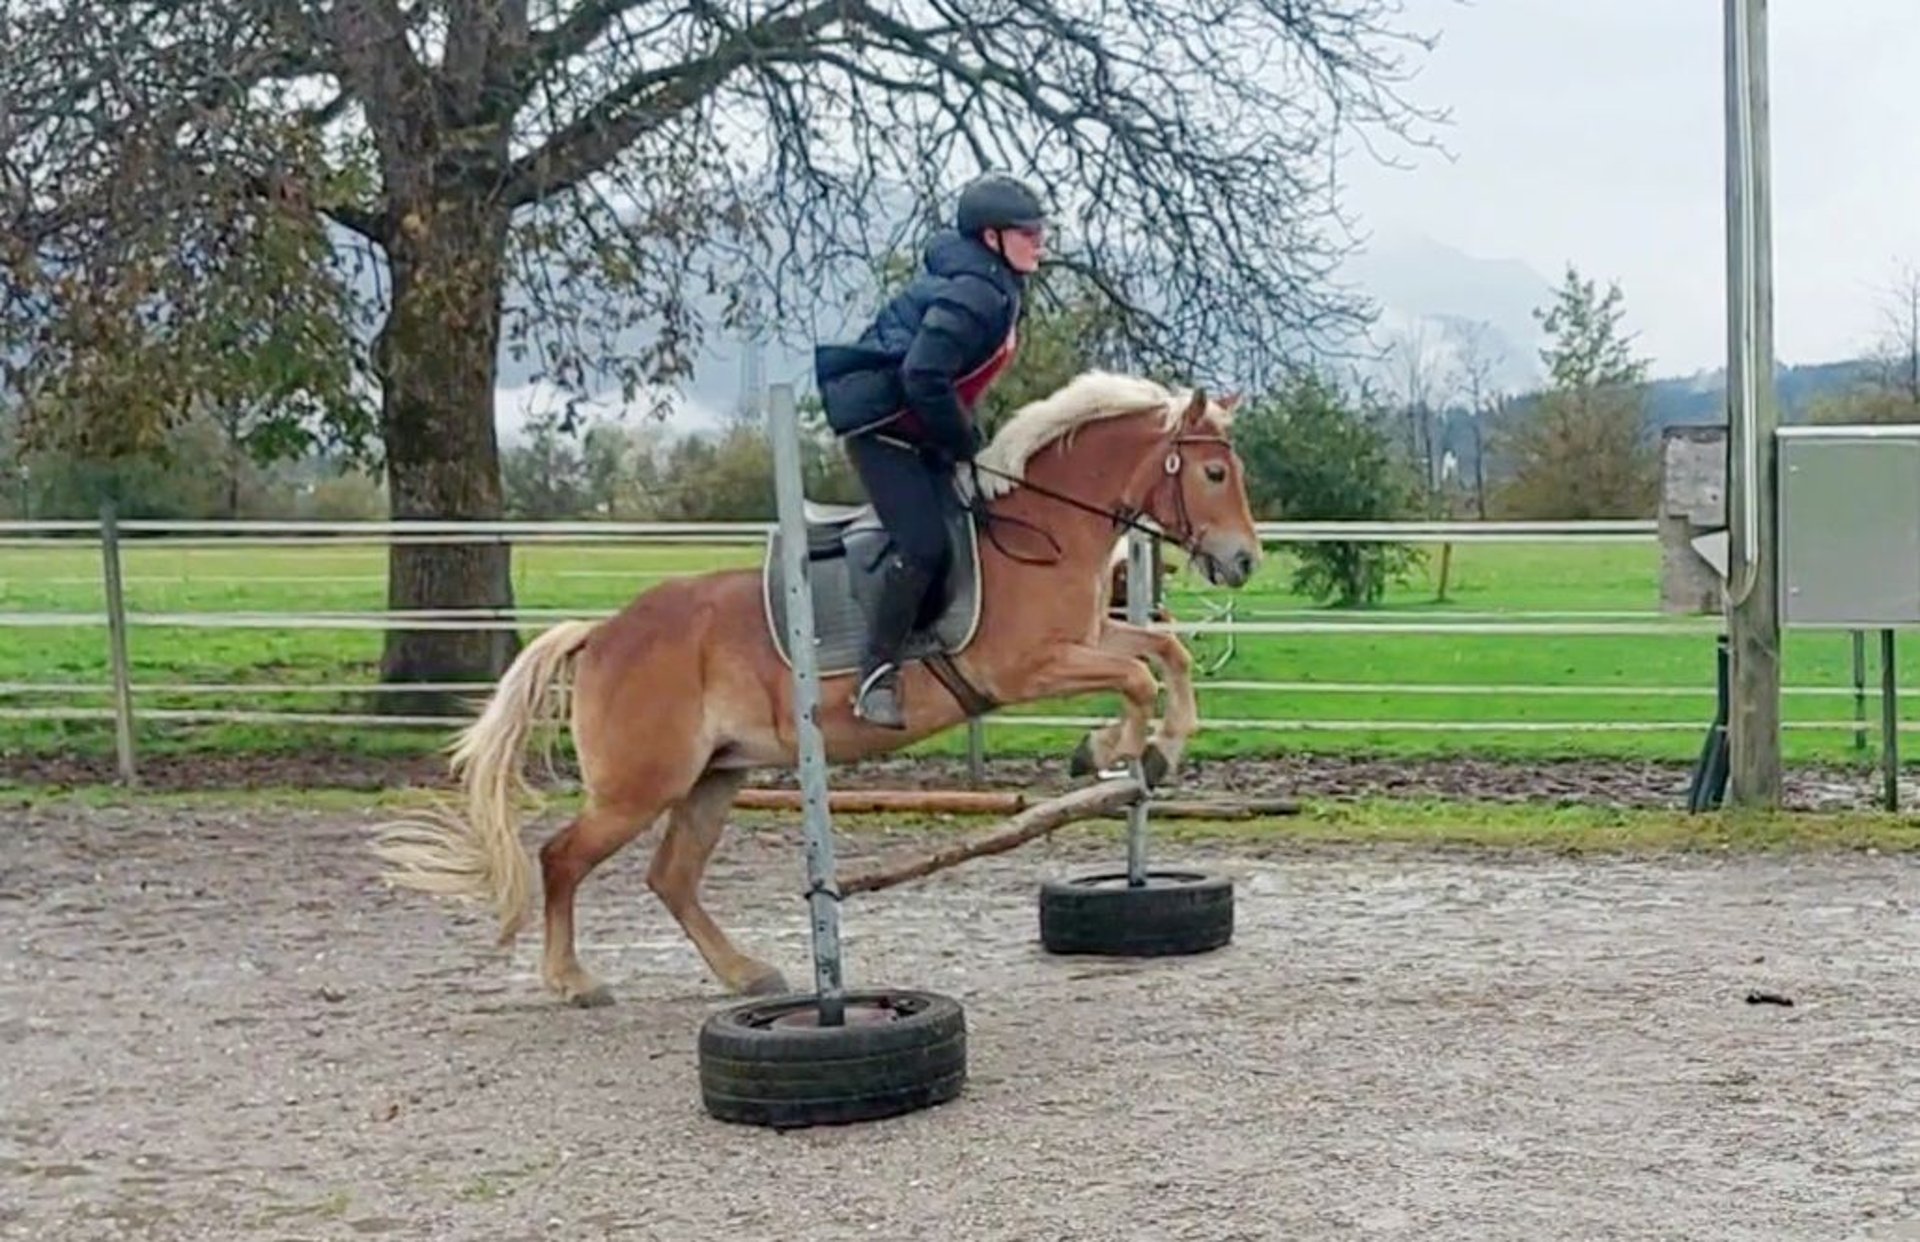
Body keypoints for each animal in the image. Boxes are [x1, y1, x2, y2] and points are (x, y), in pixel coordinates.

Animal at [373, 370, 1261, 1007]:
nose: (1244, 561)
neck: (1040, 529)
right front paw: (1115, 749)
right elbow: (1136, 676)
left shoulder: (1086, 638)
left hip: (714, 777)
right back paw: (572, 981)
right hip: (641, 785)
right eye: (1216, 472)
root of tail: (604, 633)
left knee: (671, 878)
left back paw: (746, 975)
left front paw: (1155, 750)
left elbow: (1165, 652)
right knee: (561, 858)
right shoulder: (1029, 665)